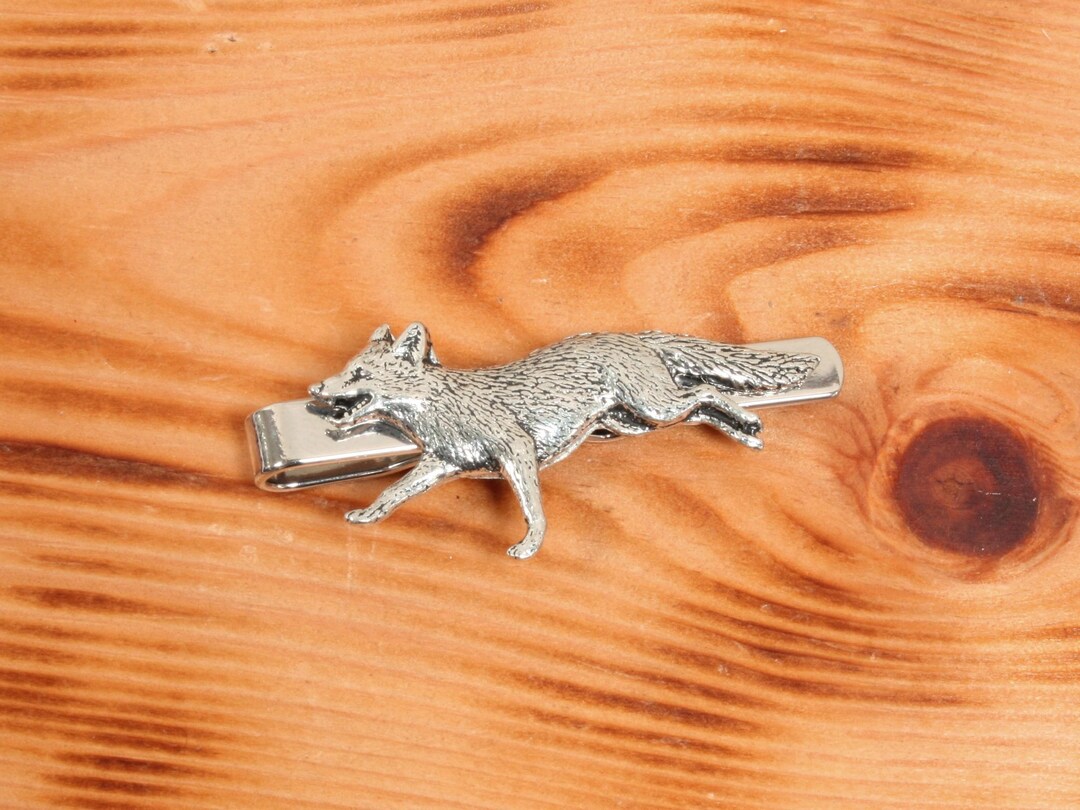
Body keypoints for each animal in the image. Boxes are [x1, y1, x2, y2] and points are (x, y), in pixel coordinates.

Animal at [308, 323, 818, 559]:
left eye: (358, 373)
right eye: (345, 369)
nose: (315, 390)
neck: (439, 406)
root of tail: (633, 337)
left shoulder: (516, 450)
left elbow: (533, 508)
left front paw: (530, 545)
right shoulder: (441, 463)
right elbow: (394, 492)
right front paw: (367, 515)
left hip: (654, 408)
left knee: (708, 392)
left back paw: (750, 421)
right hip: (633, 422)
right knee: (703, 402)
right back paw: (742, 429)